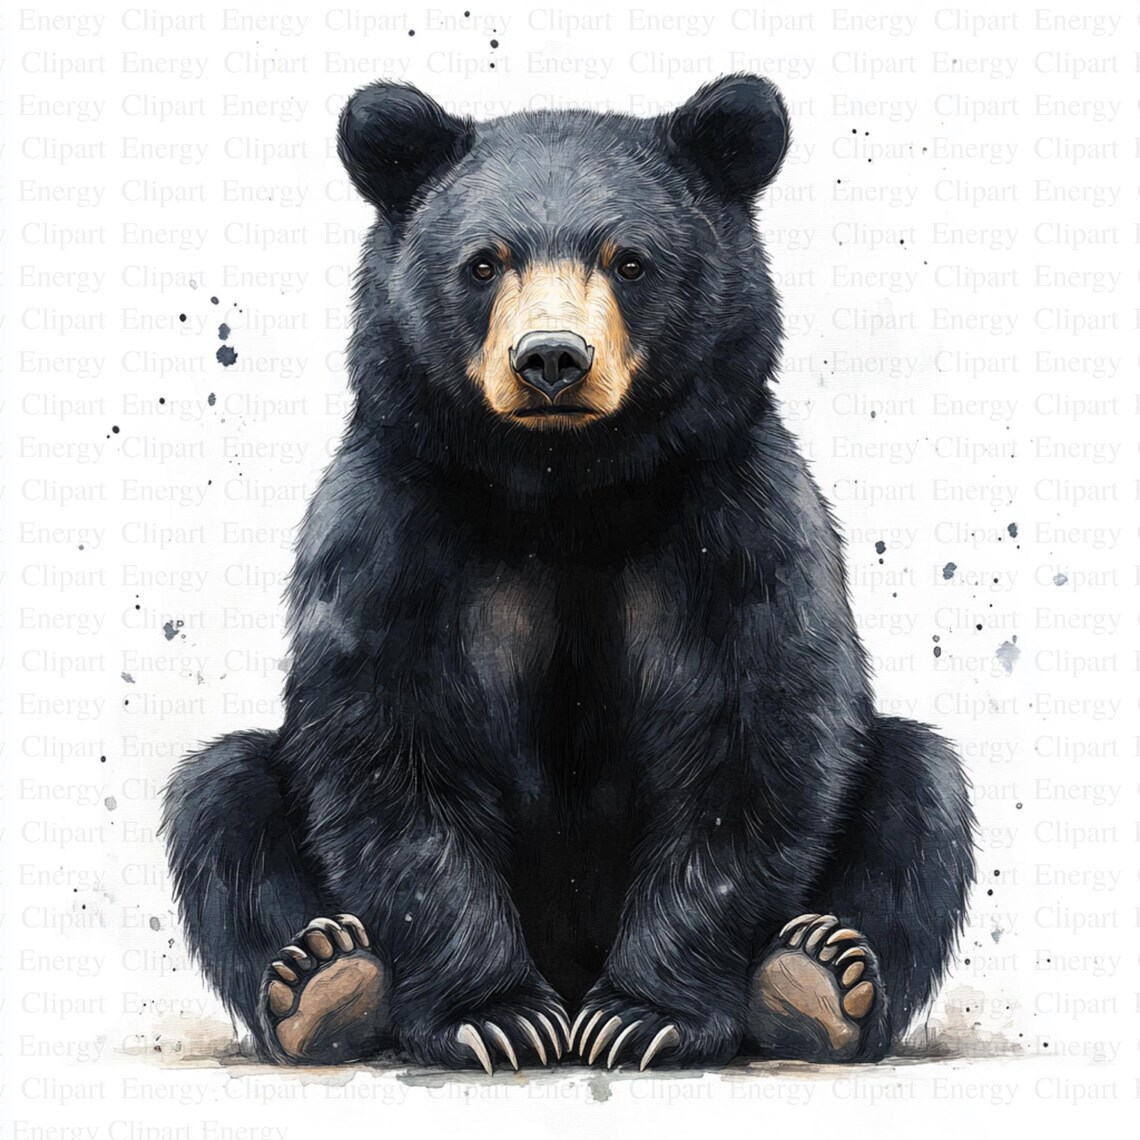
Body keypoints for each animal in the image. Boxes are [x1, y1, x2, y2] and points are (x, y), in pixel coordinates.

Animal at [162, 74, 976, 1073]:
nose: (551, 357)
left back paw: (818, 980)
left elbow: (760, 736)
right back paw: (324, 983)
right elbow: (386, 744)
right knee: (220, 795)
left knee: (922, 787)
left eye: (630, 261)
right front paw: (497, 1016)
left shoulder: (743, 524)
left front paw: (641, 1015)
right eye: (483, 264)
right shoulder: (390, 529)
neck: (566, 489)